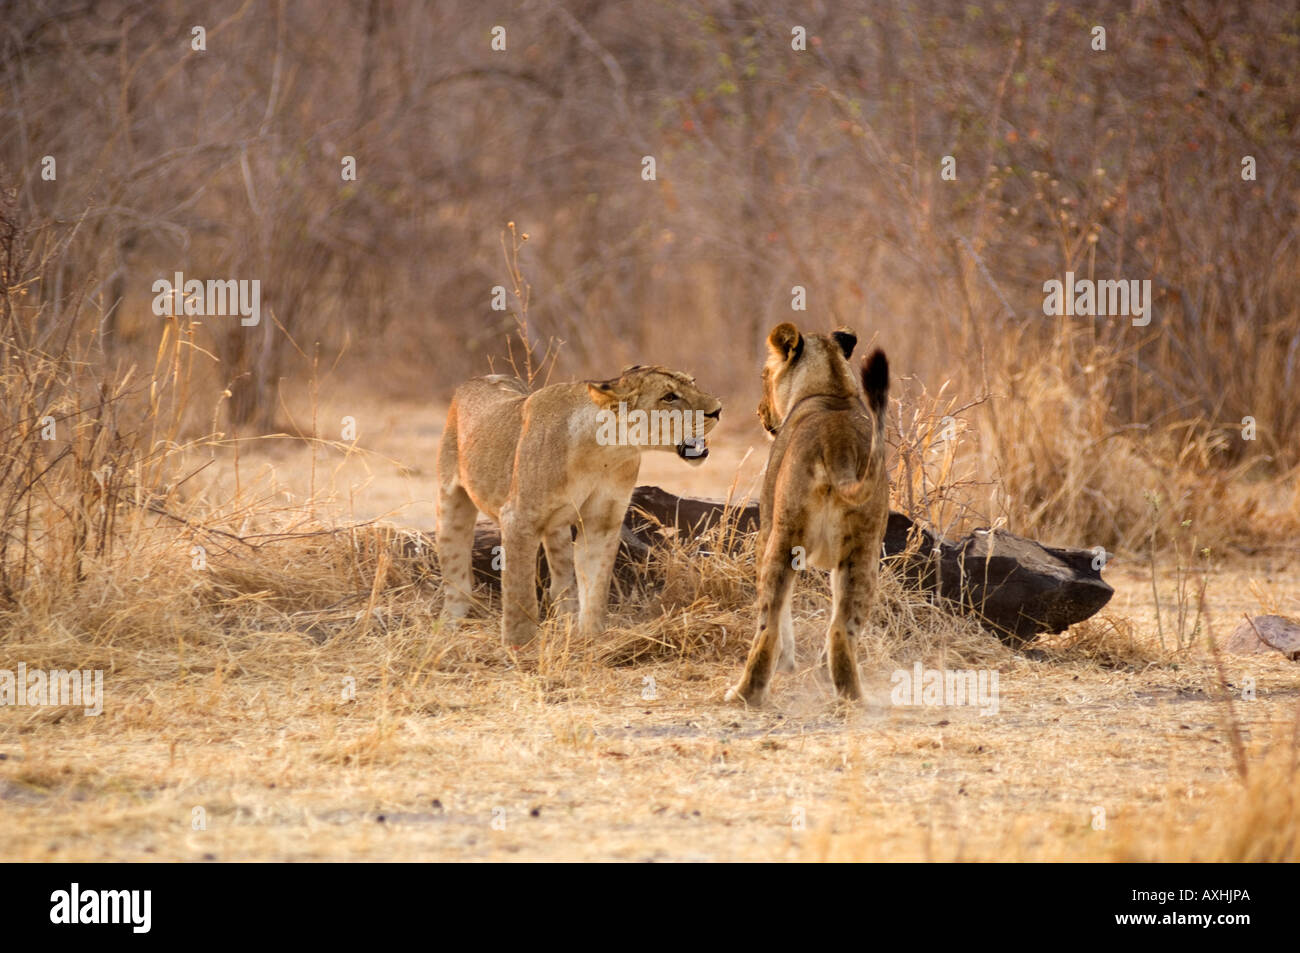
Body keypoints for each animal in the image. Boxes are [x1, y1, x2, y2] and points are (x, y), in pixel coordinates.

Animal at [436, 366, 722, 646]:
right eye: (669, 397)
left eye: (693, 382)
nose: (718, 410)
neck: (606, 451)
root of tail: (479, 378)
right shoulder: (518, 519)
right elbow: (520, 592)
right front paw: (520, 647)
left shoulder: (602, 522)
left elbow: (595, 584)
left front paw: (591, 639)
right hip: (451, 508)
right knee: (456, 577)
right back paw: (451, 627)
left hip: (557, 531)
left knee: (561, 582)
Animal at [726, 323, 889, 705]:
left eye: (764, 375)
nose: (759, 413)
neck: (833, 389)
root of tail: (838, 443)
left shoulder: (767, 528)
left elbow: (782, 614)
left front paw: (785, 663)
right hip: (864, 553)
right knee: (841, 630)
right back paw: (852, 696)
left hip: (783, 536)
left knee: (768, 623)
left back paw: (745, 693)